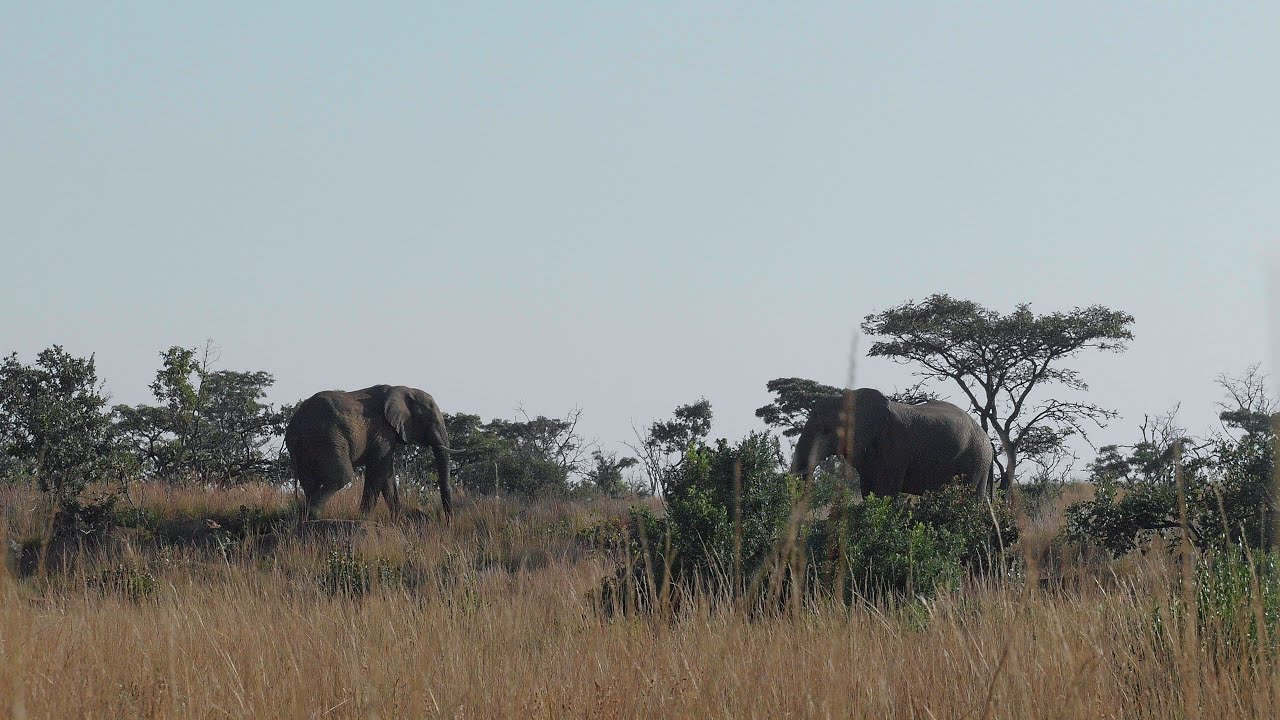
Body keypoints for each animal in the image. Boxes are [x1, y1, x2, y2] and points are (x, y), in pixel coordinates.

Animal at [285, 384, 454, 520]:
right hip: (328, 438)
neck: (403, 389)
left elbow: (388, 476)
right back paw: (313, 514)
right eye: (430, 420)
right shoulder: (382, 432)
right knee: (341, 477)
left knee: (309, 483)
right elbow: (379, 470)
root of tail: (297, 422)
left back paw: (306, 516)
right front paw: (364, 517)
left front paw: (399, 519)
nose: (448, 522)